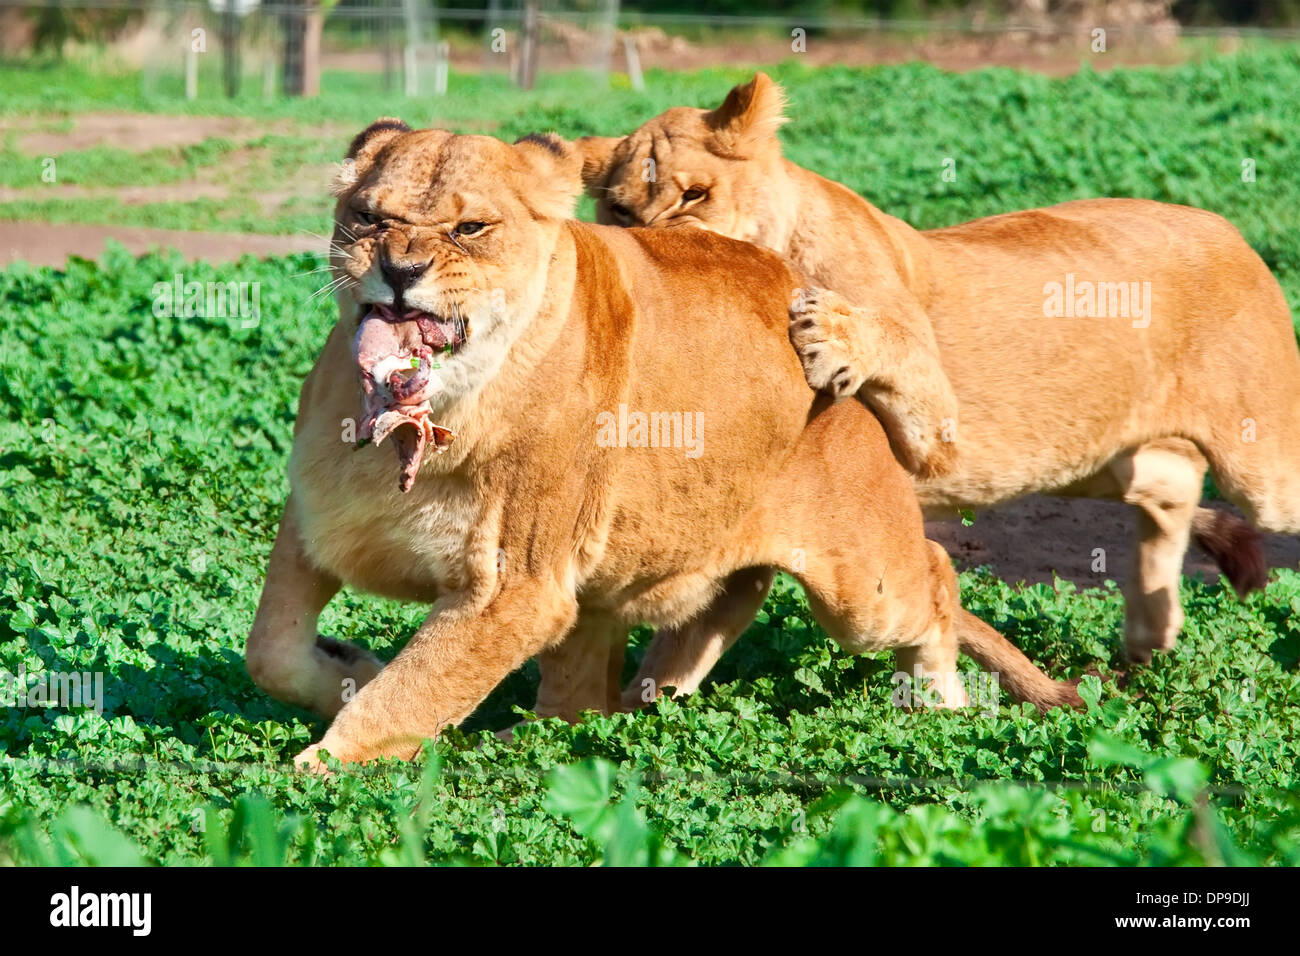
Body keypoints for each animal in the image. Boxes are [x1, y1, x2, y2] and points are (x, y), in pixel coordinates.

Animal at [244, 121, 1082, 768]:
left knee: (934, 578)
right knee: (623, 671)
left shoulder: (514, 590)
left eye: (469, 229)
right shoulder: (313, 523)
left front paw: (316, 772)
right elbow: (272, 650)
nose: (399, 269)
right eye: (368, 217)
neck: (421, 427)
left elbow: (414, 692)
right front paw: (352, 667)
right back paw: (623, 716)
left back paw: (937, 705)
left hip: (862, 592)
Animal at [571, 73, 1300, 704]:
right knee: (1173, 475)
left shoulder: (939, 429)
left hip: (1261, 469)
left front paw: (833, 336)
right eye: (619, 208)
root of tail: (1232, 230)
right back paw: (1151, 636)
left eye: (695, 195)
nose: (648, 252)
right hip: (1088, 457)